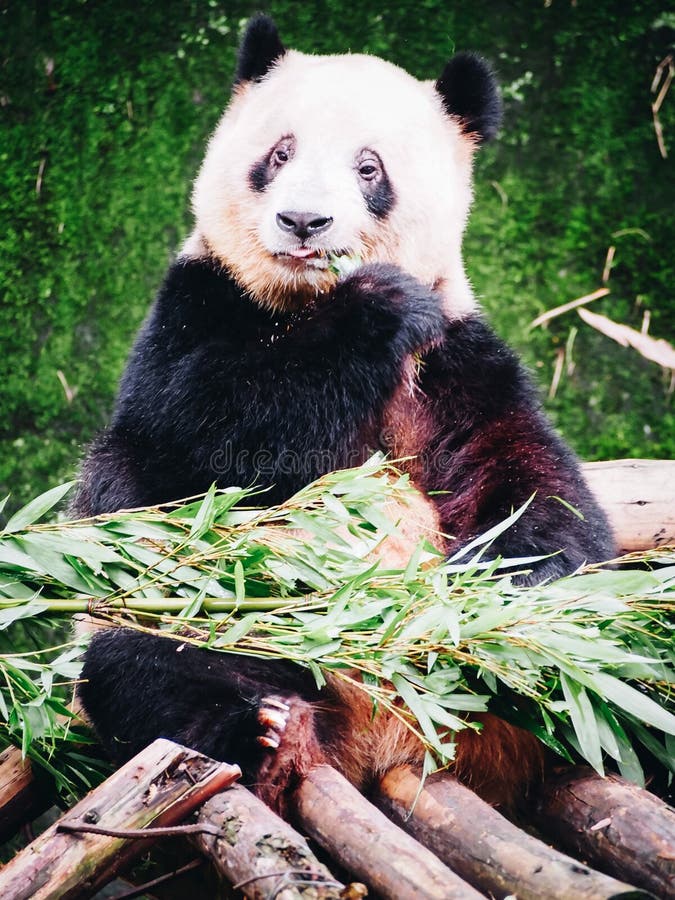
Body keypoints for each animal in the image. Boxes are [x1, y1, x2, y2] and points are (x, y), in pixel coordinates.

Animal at [74, 16, 615, 815]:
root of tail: (385, 741)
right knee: (148, 658)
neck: (305, 298)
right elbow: (204, 431)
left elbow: (527, 474)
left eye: (368, 168)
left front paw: (507, 593)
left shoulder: (454, 361)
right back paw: (260, 734)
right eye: (279, 153)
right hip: (208, 615)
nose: (303, 220)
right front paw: (377, 307)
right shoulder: (198, 304)